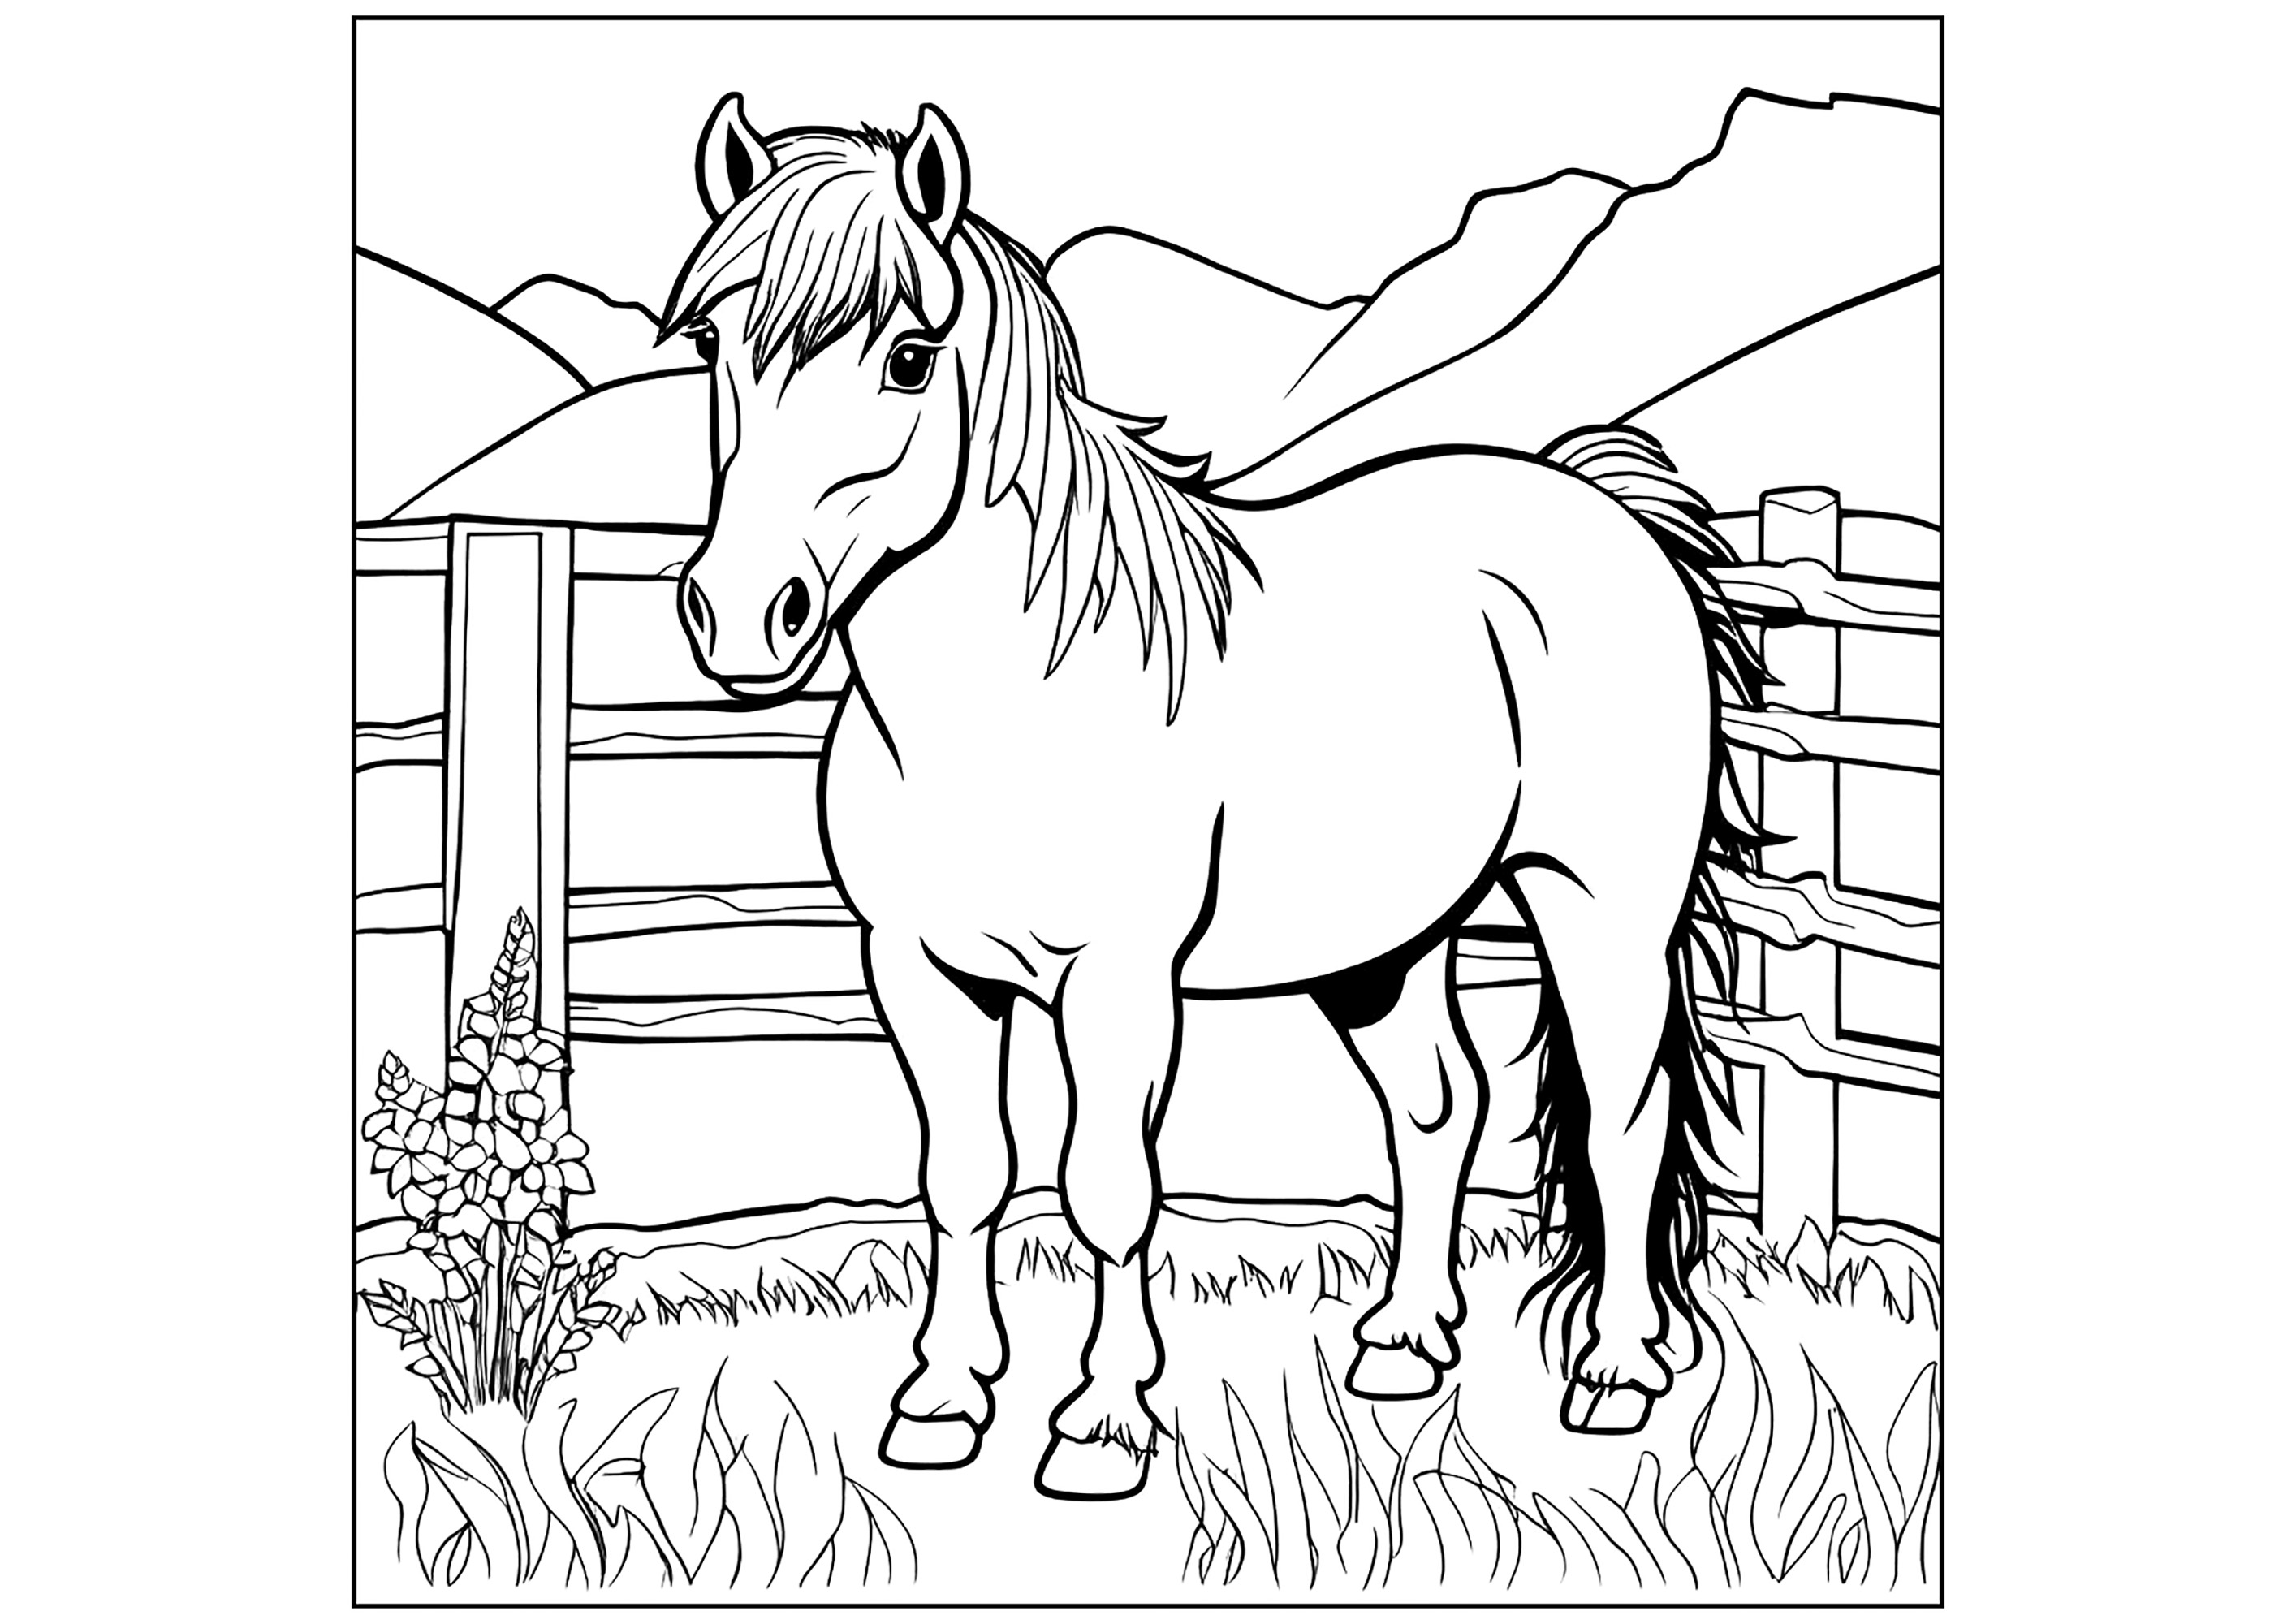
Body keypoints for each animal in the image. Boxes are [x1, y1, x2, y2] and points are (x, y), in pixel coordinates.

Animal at [661, 97, 1764, 1501]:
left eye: (910, 358)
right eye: (713, 344)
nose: (744, 616)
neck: (1011, 694)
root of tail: (1597, 502)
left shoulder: (1117, 980)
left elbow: (1108, 1186)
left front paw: (1100, 1423)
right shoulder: (916, 968)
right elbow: (963, 1176)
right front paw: (942, 1402)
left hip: (1603, 913)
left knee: (1626, 1116)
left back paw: (1617, 1373)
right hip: (1384, 949)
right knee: (1438, 1107)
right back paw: (1404, 1344)